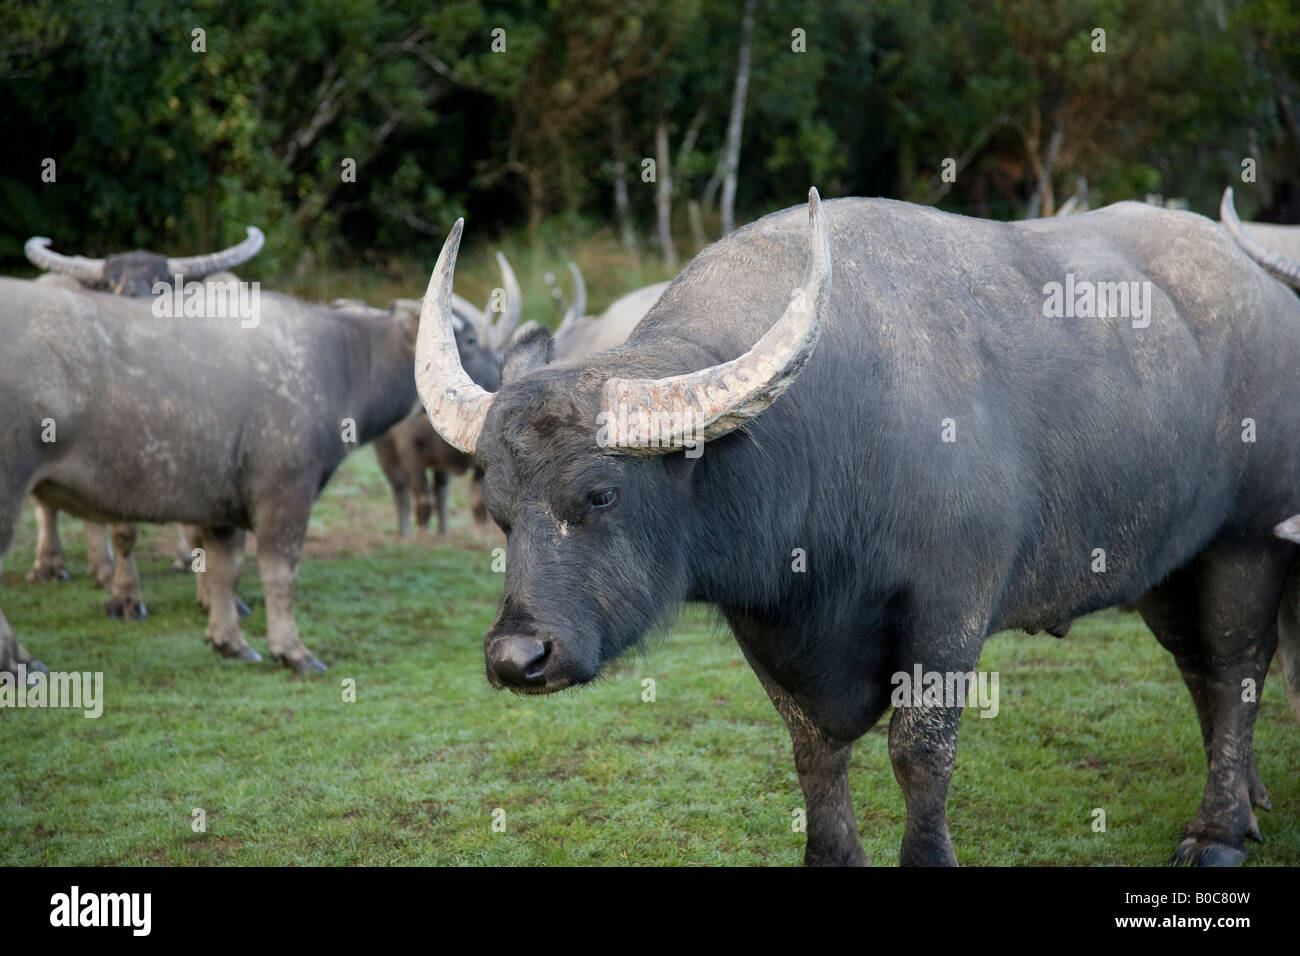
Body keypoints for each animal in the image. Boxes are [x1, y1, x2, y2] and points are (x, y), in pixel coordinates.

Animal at [0, 279, 424, 674]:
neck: (341, 363)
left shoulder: (222, 509)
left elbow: (225, 571)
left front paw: (230, 642)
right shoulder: (286, 494)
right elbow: (280, 574)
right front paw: (293, 651)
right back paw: (21, 663)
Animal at [413, 188, 1300, 866]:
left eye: (600, 495)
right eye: (498, 509)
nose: (517, 658)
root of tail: (1263, 294)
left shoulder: (950, 606)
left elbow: (919, 753)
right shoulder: (773, 627)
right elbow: (813, 751)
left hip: (1246, 541)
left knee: (1237, 665)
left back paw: (1220, 829)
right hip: (1165, 563)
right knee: (1198, 668)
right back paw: (1250, 795)